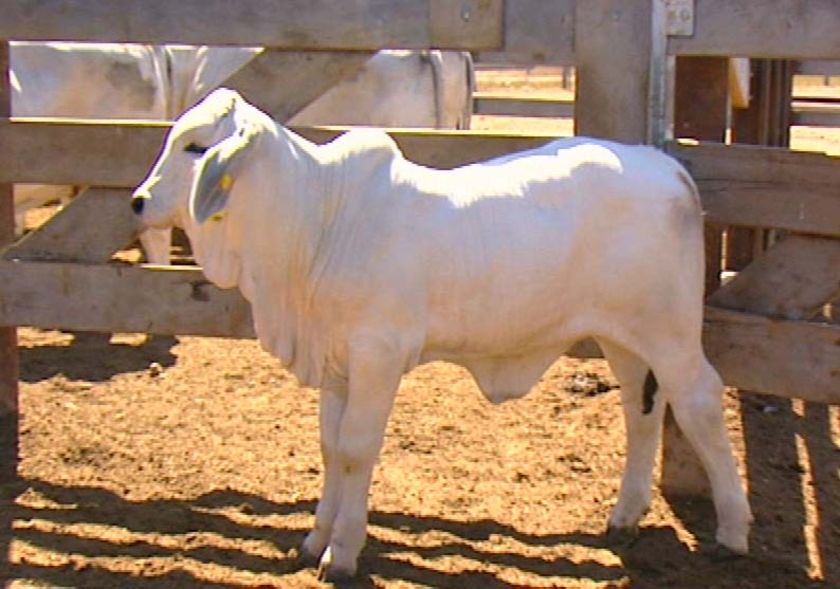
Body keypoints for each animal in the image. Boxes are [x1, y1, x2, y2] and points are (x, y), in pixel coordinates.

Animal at [130, 89, 752, 581]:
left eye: (195, 147)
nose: (137, 201)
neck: (316, 220)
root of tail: (664, 165)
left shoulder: (377, 357)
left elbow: (355, 450)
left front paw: (343, 553)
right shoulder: (335, 363)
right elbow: (330, 448)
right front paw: (314, 539)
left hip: (670, 332)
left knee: (699, 402)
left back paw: (733, 530)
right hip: (623, 337)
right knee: (641, 411)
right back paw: (624, 516)